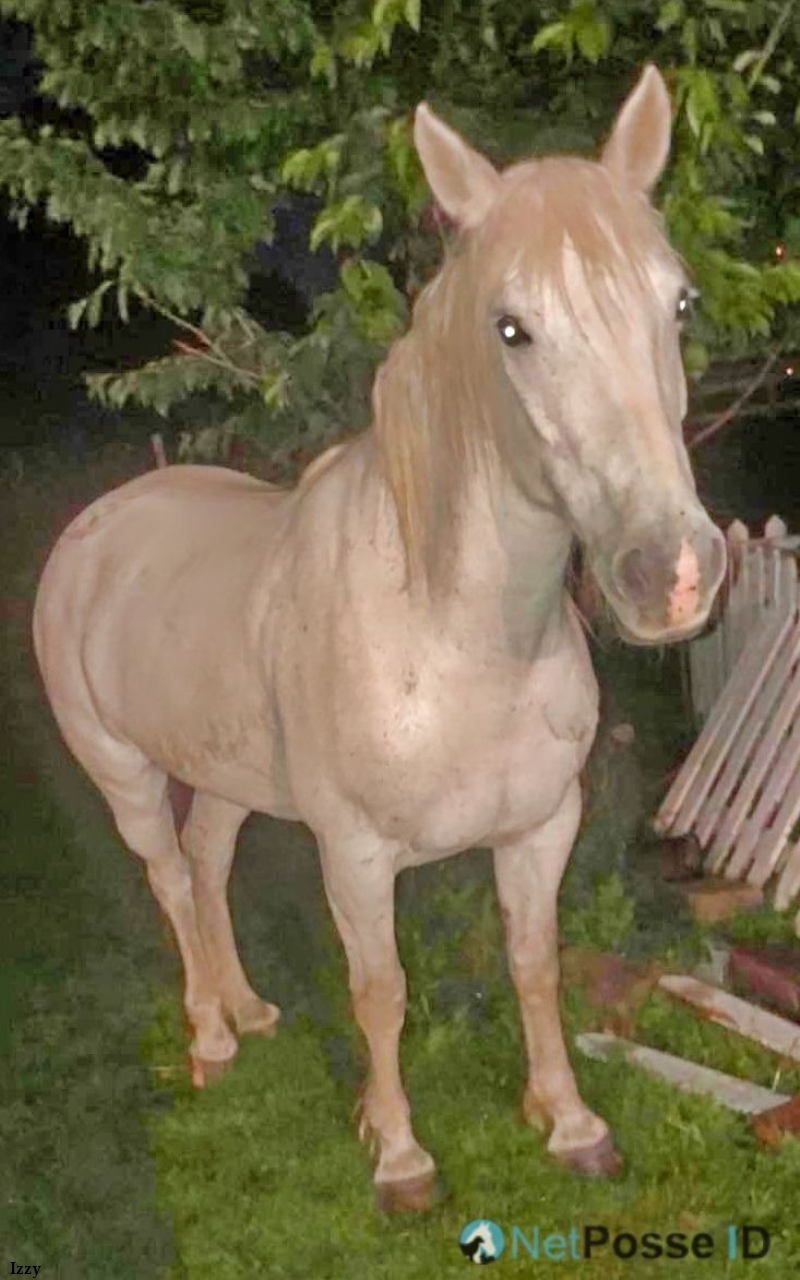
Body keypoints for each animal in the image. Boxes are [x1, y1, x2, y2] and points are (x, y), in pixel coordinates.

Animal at [34, 65, 726, 1212]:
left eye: (676, 302)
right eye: (509, 328)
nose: (667, 571)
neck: (456, 641)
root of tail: (95, 528)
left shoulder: (539, 829)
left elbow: (534, 962)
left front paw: (569, 1121)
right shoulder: (356, 856)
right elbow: (379, 989)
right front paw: (399, 1155)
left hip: (225, 775)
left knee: (207, 860)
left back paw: (250, 1009)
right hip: (120, 771)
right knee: (168, 877)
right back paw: (210, 1037)